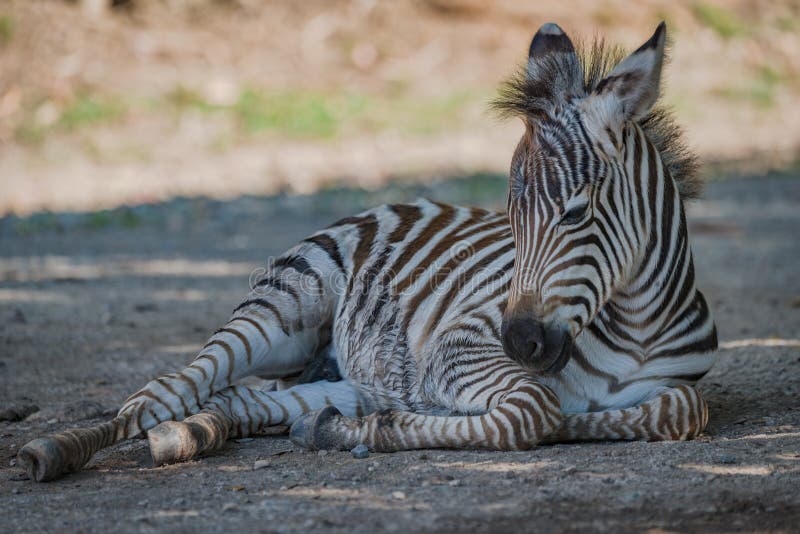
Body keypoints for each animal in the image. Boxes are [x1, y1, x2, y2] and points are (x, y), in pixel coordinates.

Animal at [18, 21, 717, 482]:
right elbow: (532, 412)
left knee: (236, 403)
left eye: (575, 212)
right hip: (282, 310)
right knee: (162, 391)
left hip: (338, 375)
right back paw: (61, 450)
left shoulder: (673, 390)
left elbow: (681, 409)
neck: (635, 330)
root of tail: (389, 204)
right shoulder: (457, 350)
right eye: (512, 219)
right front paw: (383, 432)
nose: (520, 342)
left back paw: (196, 436)